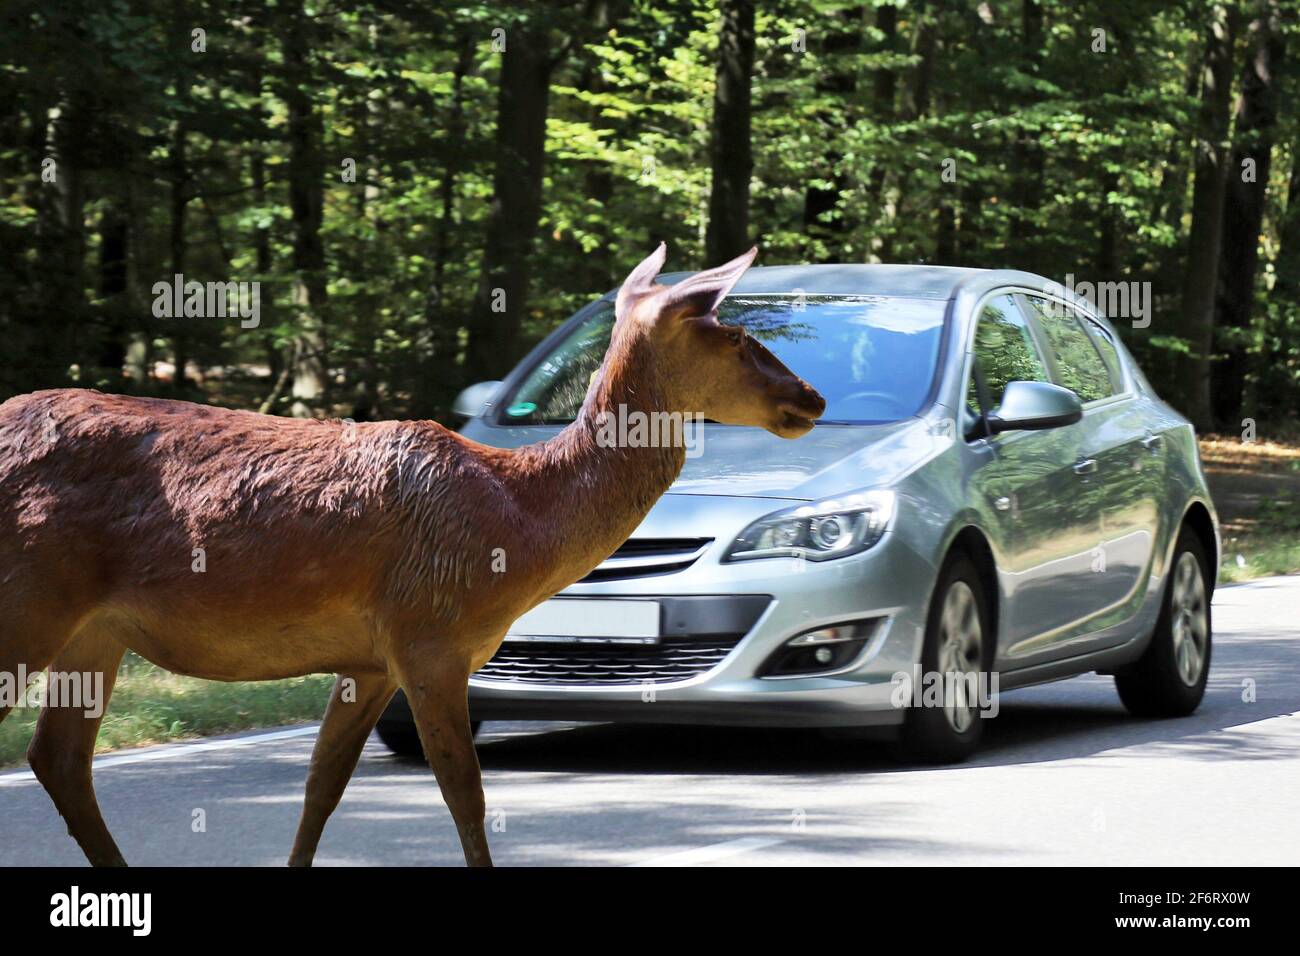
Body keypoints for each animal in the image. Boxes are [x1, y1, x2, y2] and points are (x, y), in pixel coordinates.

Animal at [0, 244, 825, 867]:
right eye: (733, 336)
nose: (812, 398)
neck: (519, 522)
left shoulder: (371, 657)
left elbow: (322, 788)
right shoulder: (432, 633)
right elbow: (466, 795)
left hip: (94, 631)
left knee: (59, 760)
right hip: (28, 599)